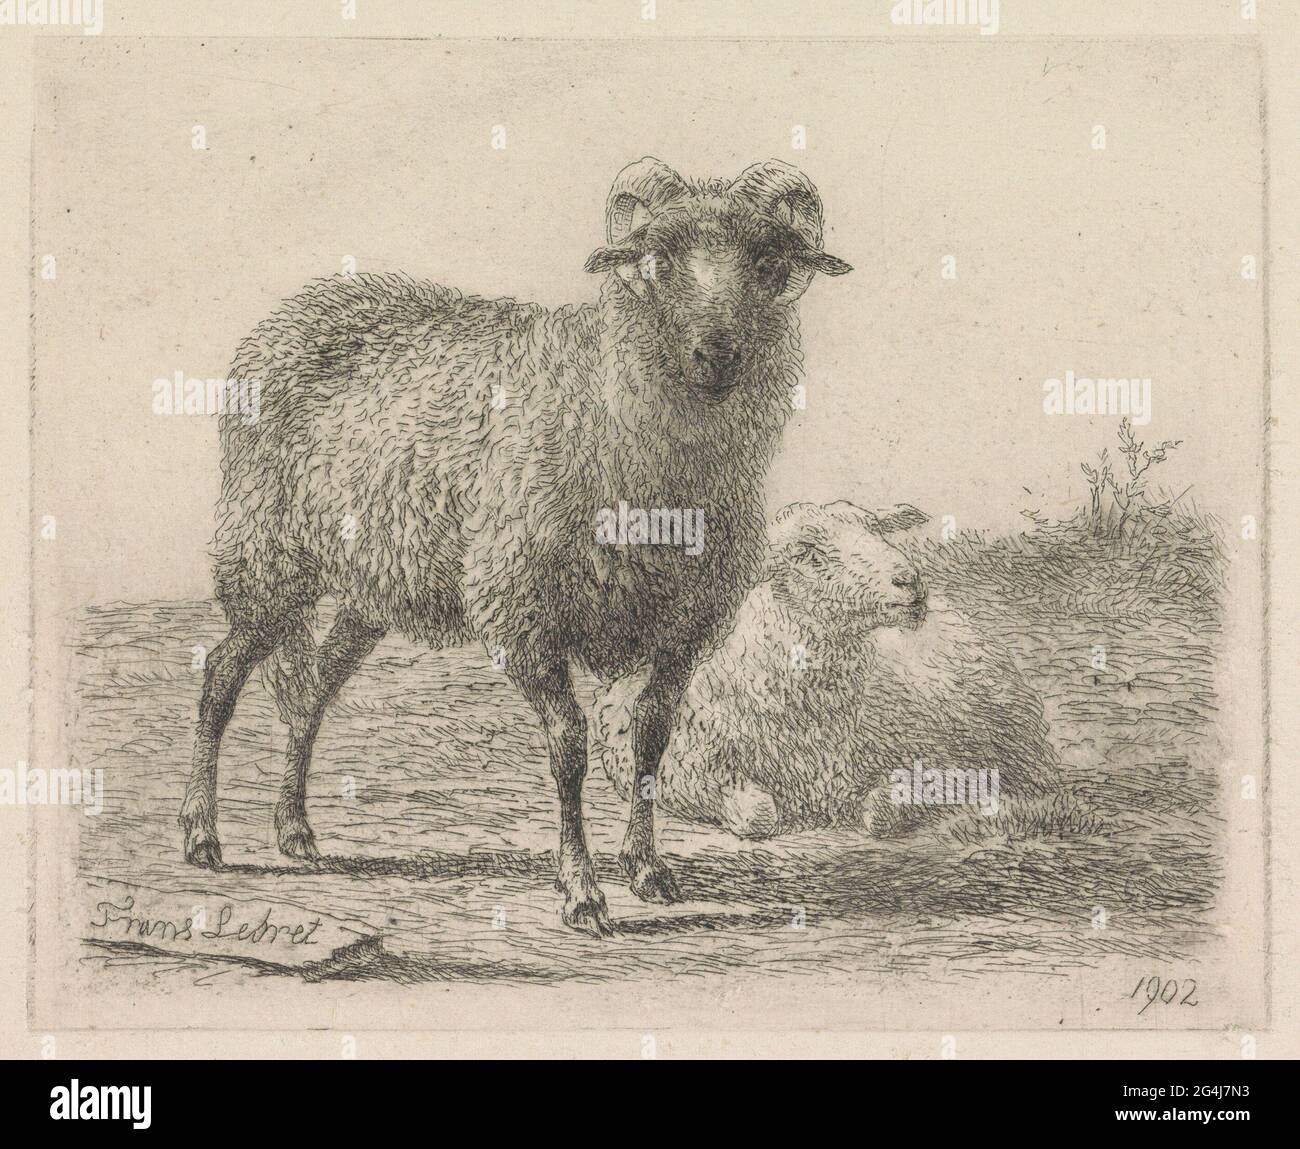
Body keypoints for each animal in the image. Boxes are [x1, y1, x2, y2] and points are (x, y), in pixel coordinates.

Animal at [178, 157, 852, 935]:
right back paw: (201, 834)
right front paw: (582, 890)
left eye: (767, 261)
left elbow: (651, 742)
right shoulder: (521, 614)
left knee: (311, 692)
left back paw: (295, 831)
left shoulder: (683, 630)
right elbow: (569, 749)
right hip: (266, 555)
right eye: (658, 260)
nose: (715, 352)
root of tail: (293, 311)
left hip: (366, 590)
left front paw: (648, 868)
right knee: (221, 677)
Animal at [593, 501, 1055, 839]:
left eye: (875, 531)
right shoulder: (680, 770)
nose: (909, 579)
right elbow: (759, 814)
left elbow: (883, 810)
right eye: (806, 554)